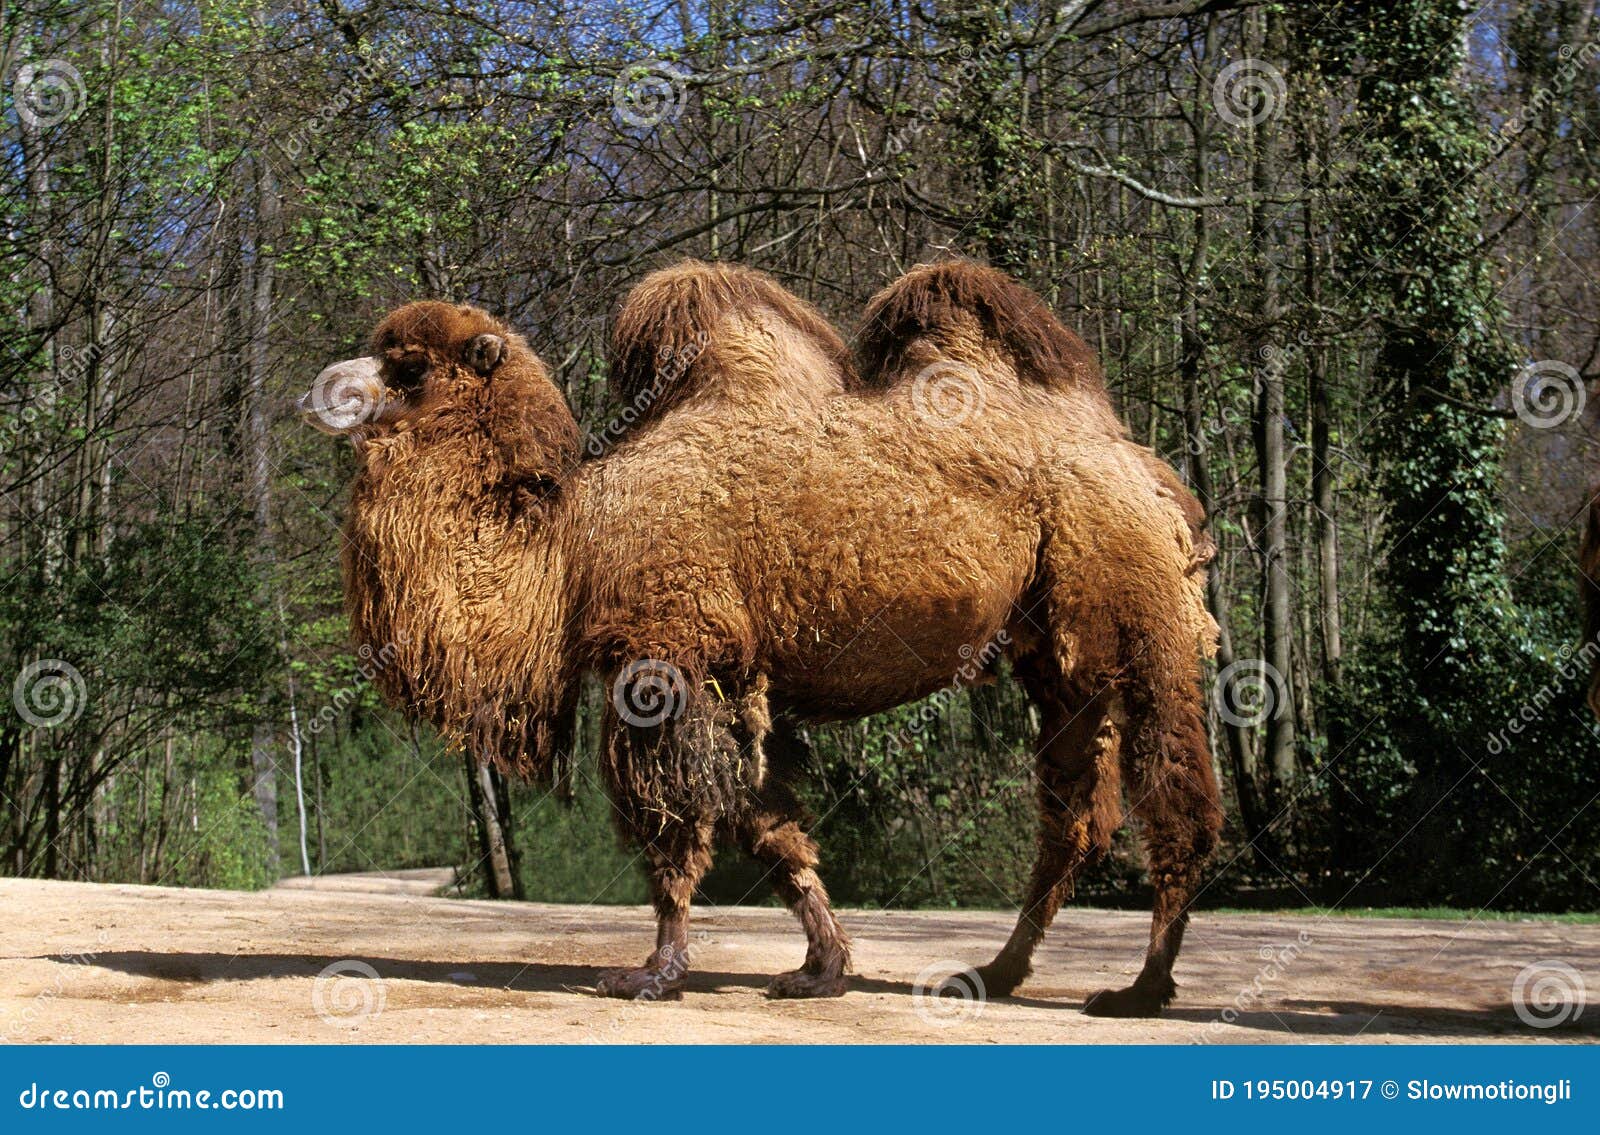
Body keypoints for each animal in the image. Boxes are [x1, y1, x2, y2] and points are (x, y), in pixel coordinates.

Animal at [298, 260, 1221, 1016]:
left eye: (409, 367)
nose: (320, 388)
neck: (571, 542)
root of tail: (1138, 459)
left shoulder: (663, 657)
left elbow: (675, 821)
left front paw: (653, 972)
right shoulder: (729, 671)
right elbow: (767, 825)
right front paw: (823, 967)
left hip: (1135, 599)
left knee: (1176, 796)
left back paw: (1142, 987)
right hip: (1054, 650)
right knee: (1075, 816)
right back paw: (998, 970)